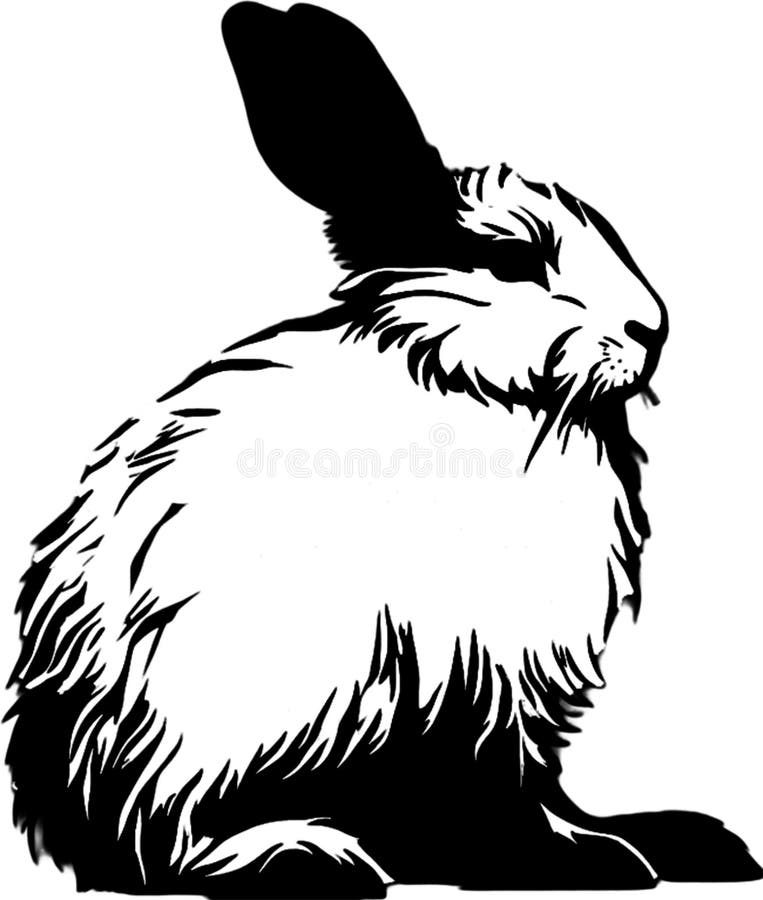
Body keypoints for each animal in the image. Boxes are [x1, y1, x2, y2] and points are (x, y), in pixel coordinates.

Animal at [6, 2, 762, 897]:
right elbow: (502, 776)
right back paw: (301, 855)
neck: (472, 382)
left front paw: (620, 841)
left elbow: (535, 774)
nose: (652, 330)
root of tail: (58, 809)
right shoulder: (472, 663)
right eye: (514, 260)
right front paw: (572, 859)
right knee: (165, 847)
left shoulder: (515, 681)